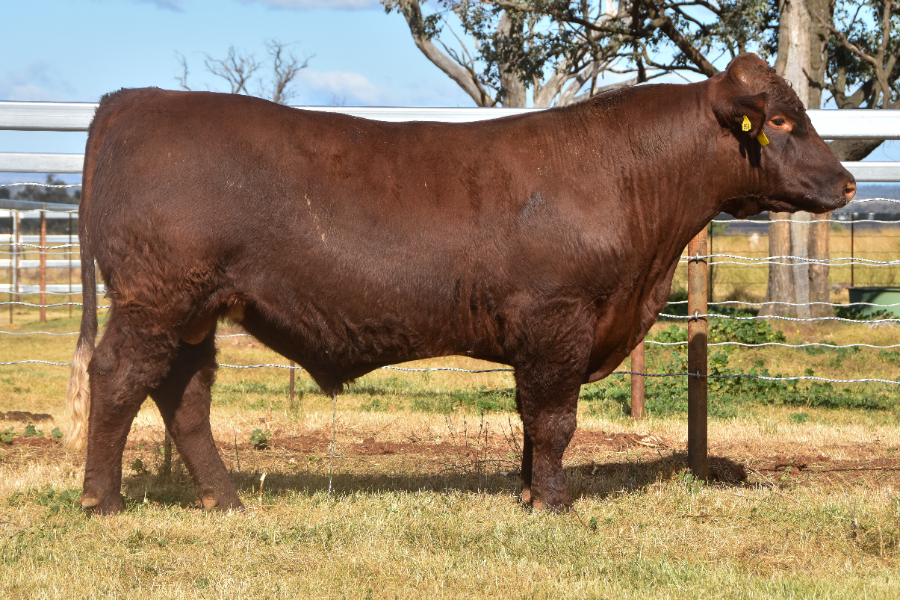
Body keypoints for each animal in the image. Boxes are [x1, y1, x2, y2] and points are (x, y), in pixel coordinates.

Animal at [65, 53, 855, 514]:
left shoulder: (544, 337)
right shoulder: (558, 319)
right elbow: (554, 420)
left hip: (195, 309)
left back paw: (223, 501)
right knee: (119, 379)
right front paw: (555, 505)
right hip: (155, 301)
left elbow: (533, 422)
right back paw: (101, 501)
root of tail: (133, 98)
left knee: (183, 396)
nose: (848, 182)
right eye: (781, 120)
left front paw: (529, 490)